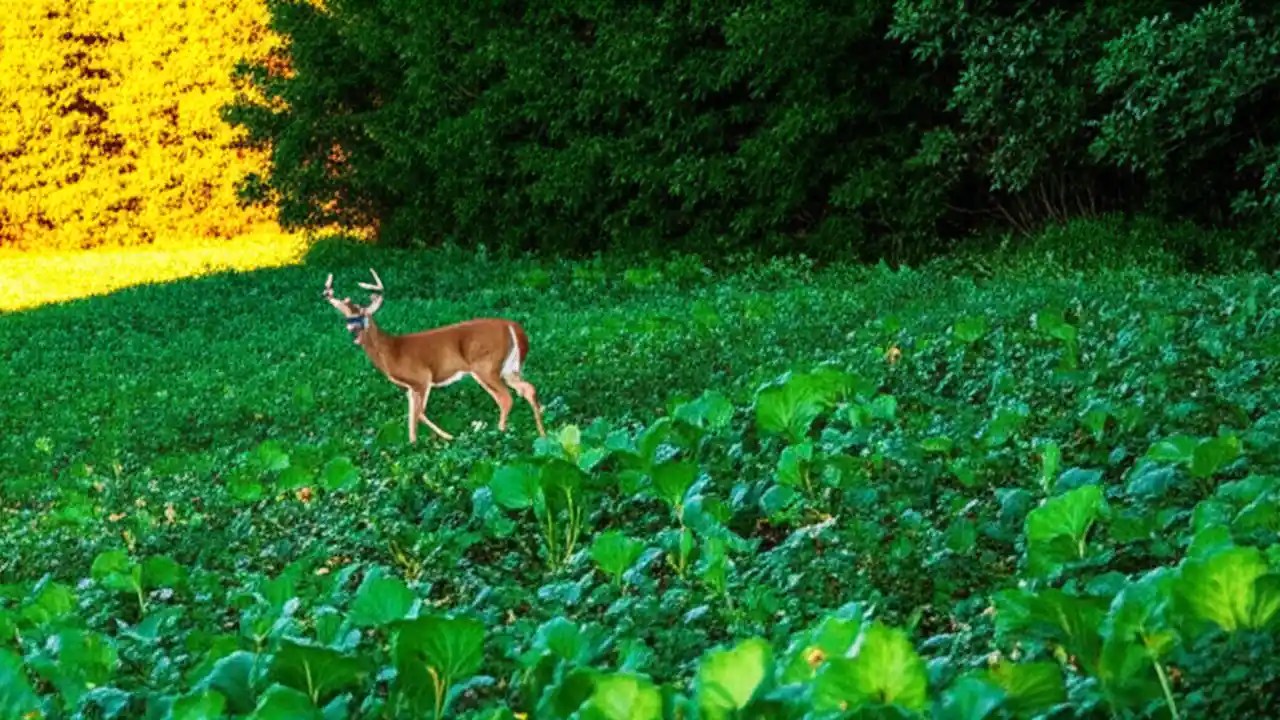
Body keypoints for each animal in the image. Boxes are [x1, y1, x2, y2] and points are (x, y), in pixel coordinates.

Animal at [322, 268, 547, 444]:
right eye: (347, 317)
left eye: (363, 315)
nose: (353, 331)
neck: (392, 350)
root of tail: (512, 326)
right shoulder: (411, 387)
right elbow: (411, 417)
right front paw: (412, 444)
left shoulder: (423, 378)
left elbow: (419, 413)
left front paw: (448, 437)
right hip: (509, 367)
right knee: (528, 388)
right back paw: (542, 434)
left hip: (486, 366)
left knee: (506, 398)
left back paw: (499, 433)